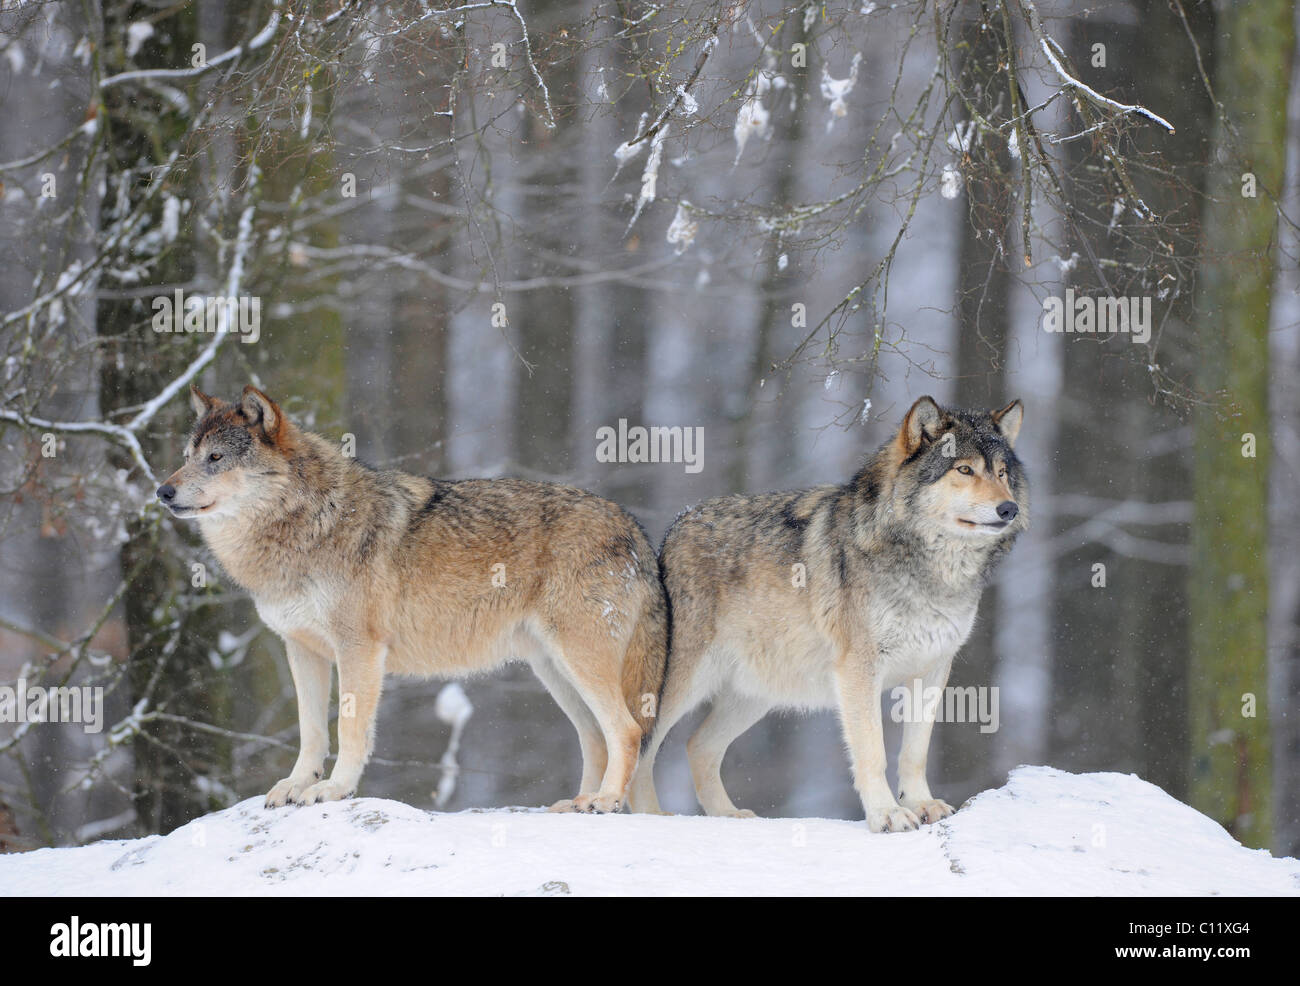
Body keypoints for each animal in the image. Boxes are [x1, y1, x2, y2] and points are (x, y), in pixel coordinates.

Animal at [157, 384, 667, 813]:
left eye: (216, 457)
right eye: (186, 456)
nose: (163, 490)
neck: (308, 522)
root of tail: (637, 531)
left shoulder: (359, 648)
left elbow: (349, 728)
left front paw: (334, 789)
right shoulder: (301, 649)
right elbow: (311, 731)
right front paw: (295, 786)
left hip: (578, 661)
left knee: (626, 730)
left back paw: (603, 801)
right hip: (554, 671)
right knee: (596, 737)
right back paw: (579, 803)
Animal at [628, 396, 1027, 832]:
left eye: (1002, 473)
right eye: (964, 469)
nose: (1009, 508)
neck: (932, 572)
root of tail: (672, 532)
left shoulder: (934, 668)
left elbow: (914, 752)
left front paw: (922, 804)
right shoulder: (859, 669)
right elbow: (873, 751)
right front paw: (887, 814)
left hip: (754, 697)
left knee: (696, 745)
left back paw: (729, 816)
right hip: (680, 686)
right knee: (643, 746)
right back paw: (648, 816)